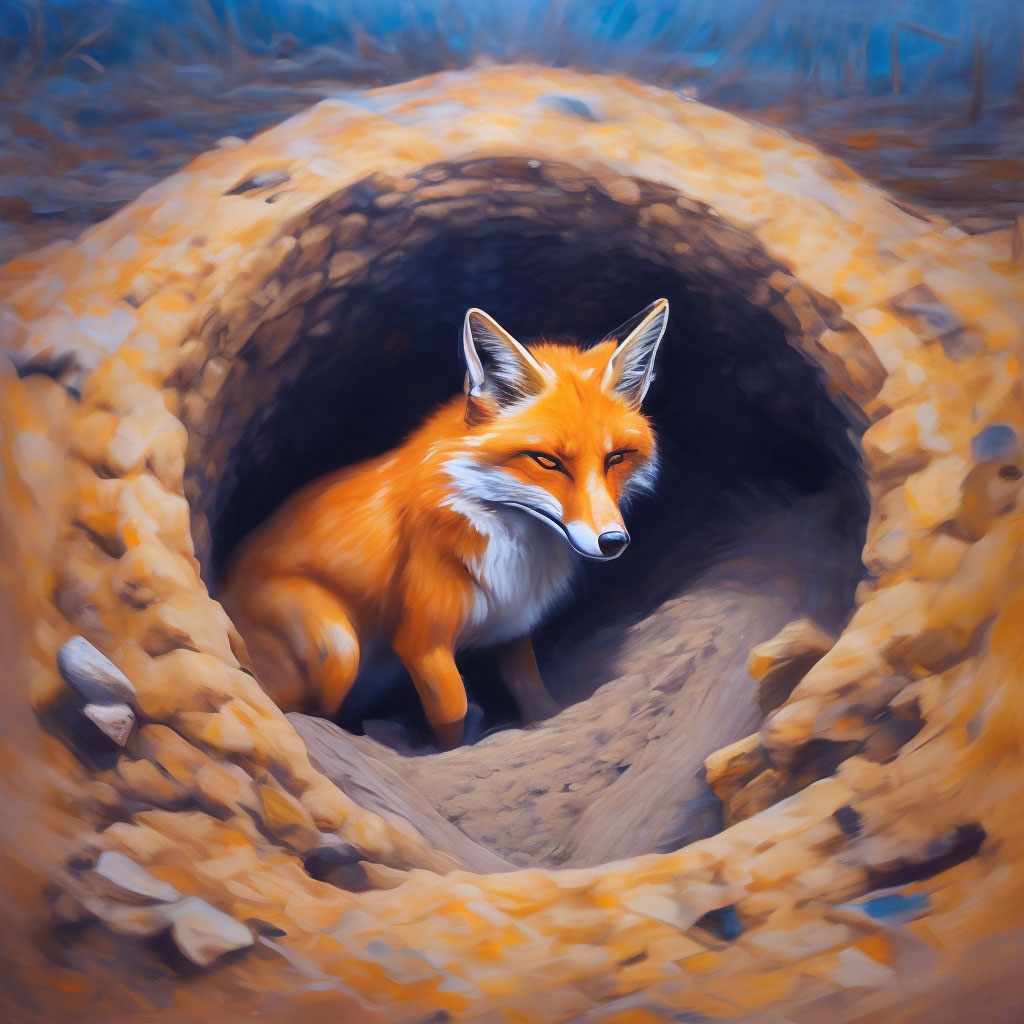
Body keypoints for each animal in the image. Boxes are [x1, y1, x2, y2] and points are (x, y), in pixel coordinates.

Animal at [219, 298, 669, 749]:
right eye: (547, 461)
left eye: (616, 458)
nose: (613, 541)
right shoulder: (422, 643)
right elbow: (453, 711)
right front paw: (451, 747)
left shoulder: (512, 624)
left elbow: (531, 689)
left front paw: (544, 719)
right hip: (338, 649)